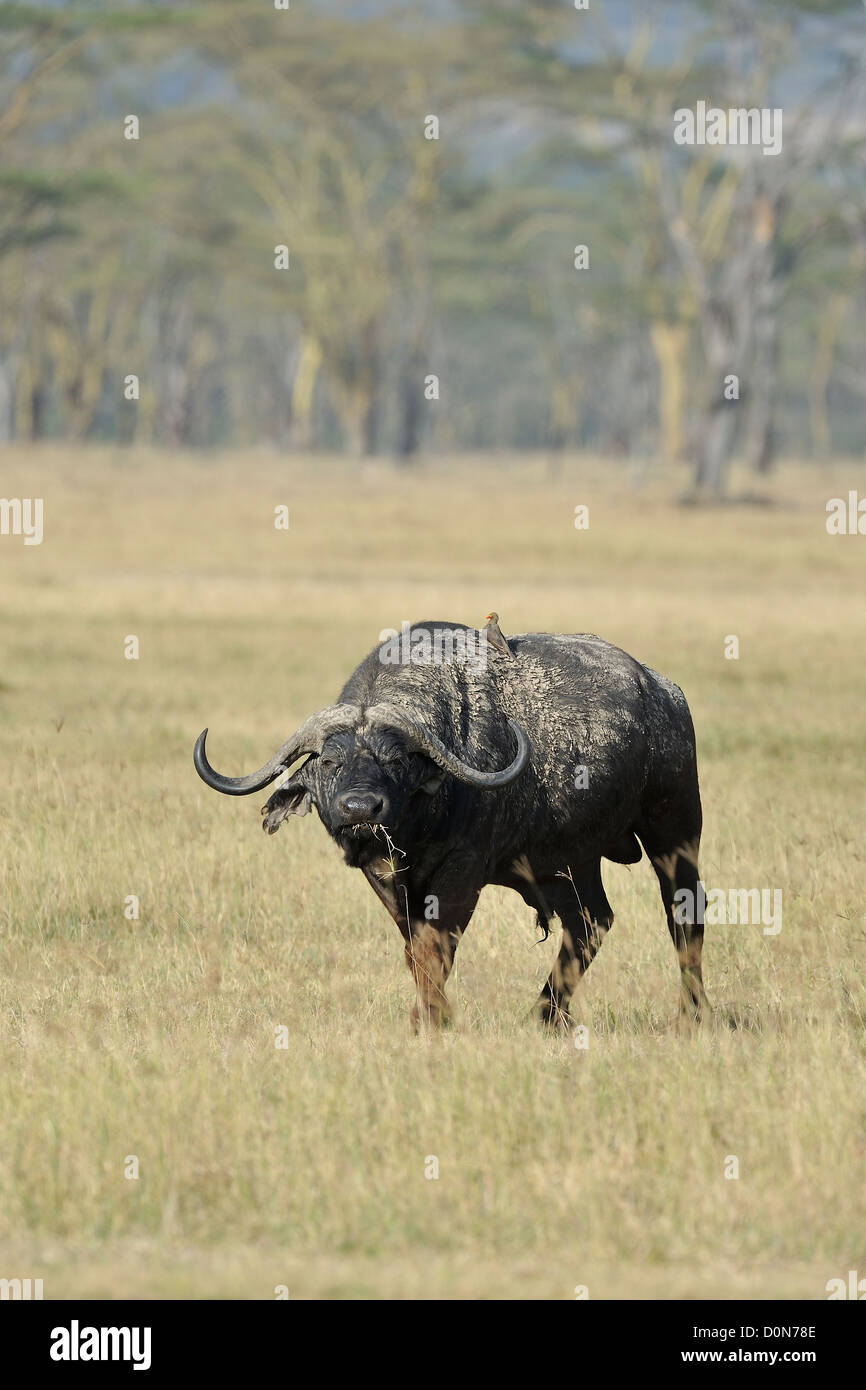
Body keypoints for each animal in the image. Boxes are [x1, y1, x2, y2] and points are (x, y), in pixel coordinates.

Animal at [194, 621, 706, 1030]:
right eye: (329, 761)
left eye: (396, 759)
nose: (361, 809)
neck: (416, 828)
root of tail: (664, 691)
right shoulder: (387, 881)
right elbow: (414, 952)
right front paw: (426, 1015)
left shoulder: (463, 870)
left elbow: (435, 948)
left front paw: (433, 1019)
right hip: (569, 860)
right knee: (589, 923)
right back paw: (545, 1017)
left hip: (675, 828)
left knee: (684, 914)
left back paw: (691, 1015)